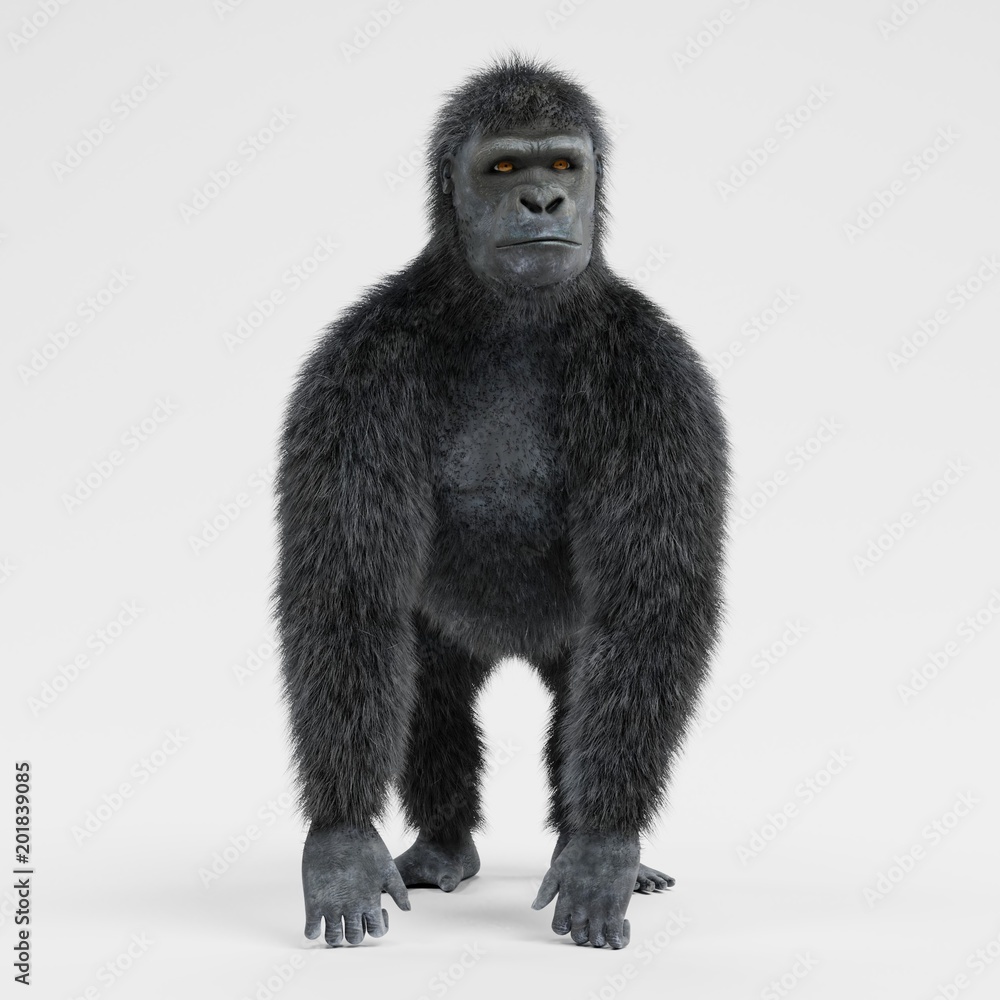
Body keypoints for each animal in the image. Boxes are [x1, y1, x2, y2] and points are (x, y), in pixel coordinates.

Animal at [274, 53, 729, 950]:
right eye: (505, 168)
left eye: (561, 164)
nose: (544, 202)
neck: (507, 309)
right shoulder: (356, 367)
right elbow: (347, 594)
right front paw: (342, 842)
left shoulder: (662, 380)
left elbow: (650, 604)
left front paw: (605, 848)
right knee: (423, 684)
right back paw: (444, 843)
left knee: (589, 693)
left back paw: (589, 834)